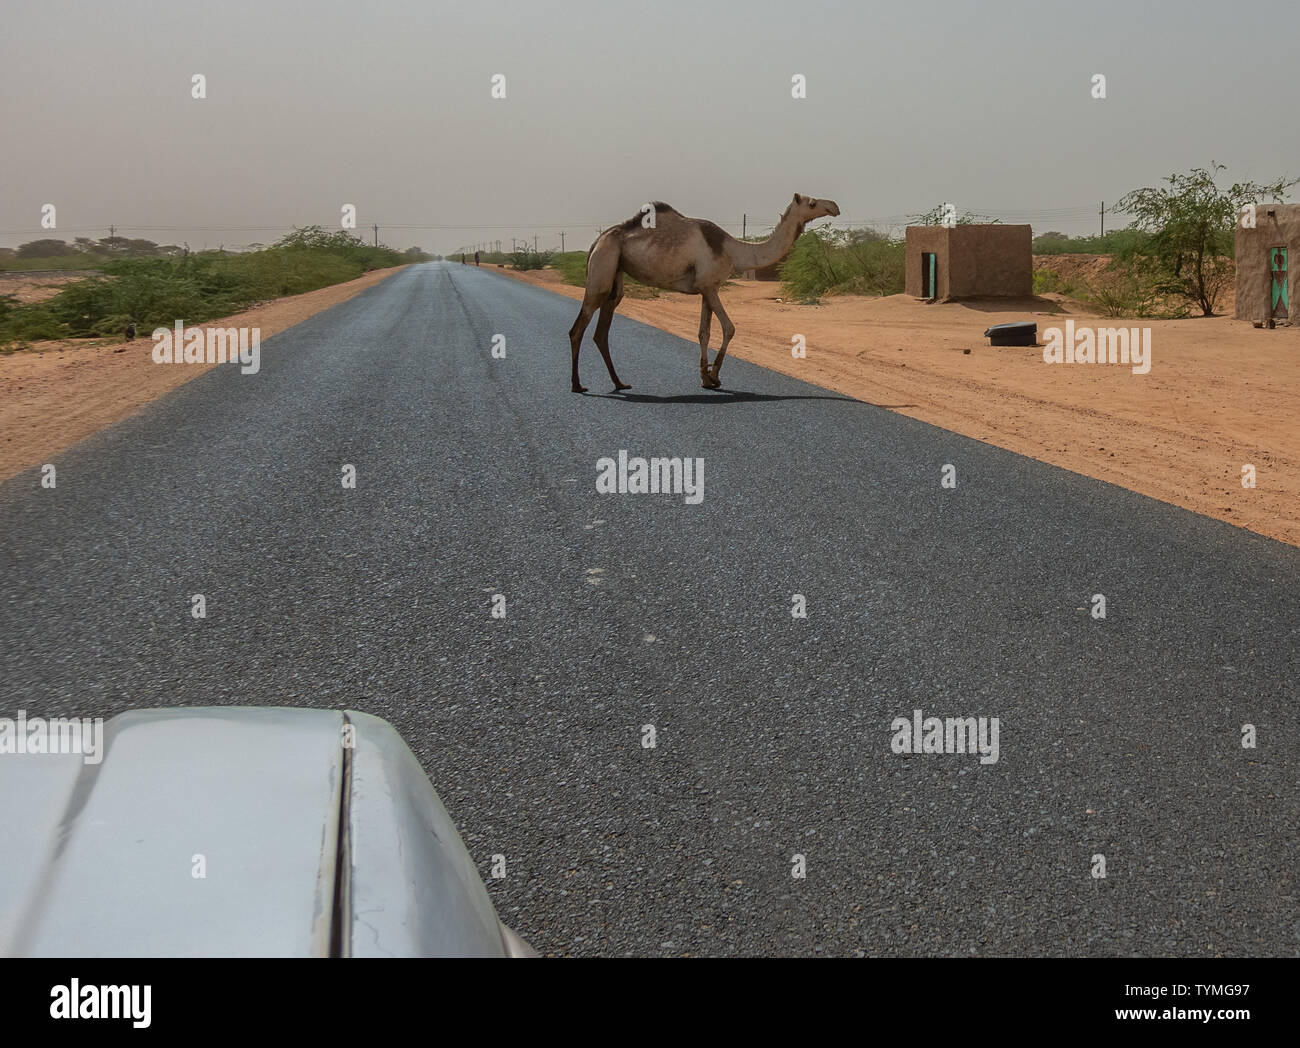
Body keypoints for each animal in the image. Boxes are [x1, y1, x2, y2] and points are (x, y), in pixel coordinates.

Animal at [568, 193, 840, 392]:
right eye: (812, 203)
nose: (834, 206)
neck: (734, 251)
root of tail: (597, 241)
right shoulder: (710, 287)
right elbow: (729, 328)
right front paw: (714, 376)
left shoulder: (706, 288)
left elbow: (704, 332)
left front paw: (705, 377)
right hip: (602, 268)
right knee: (578, 328)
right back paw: (578, 385)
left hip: (616, 273)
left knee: (601, 331)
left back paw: (619, 383)